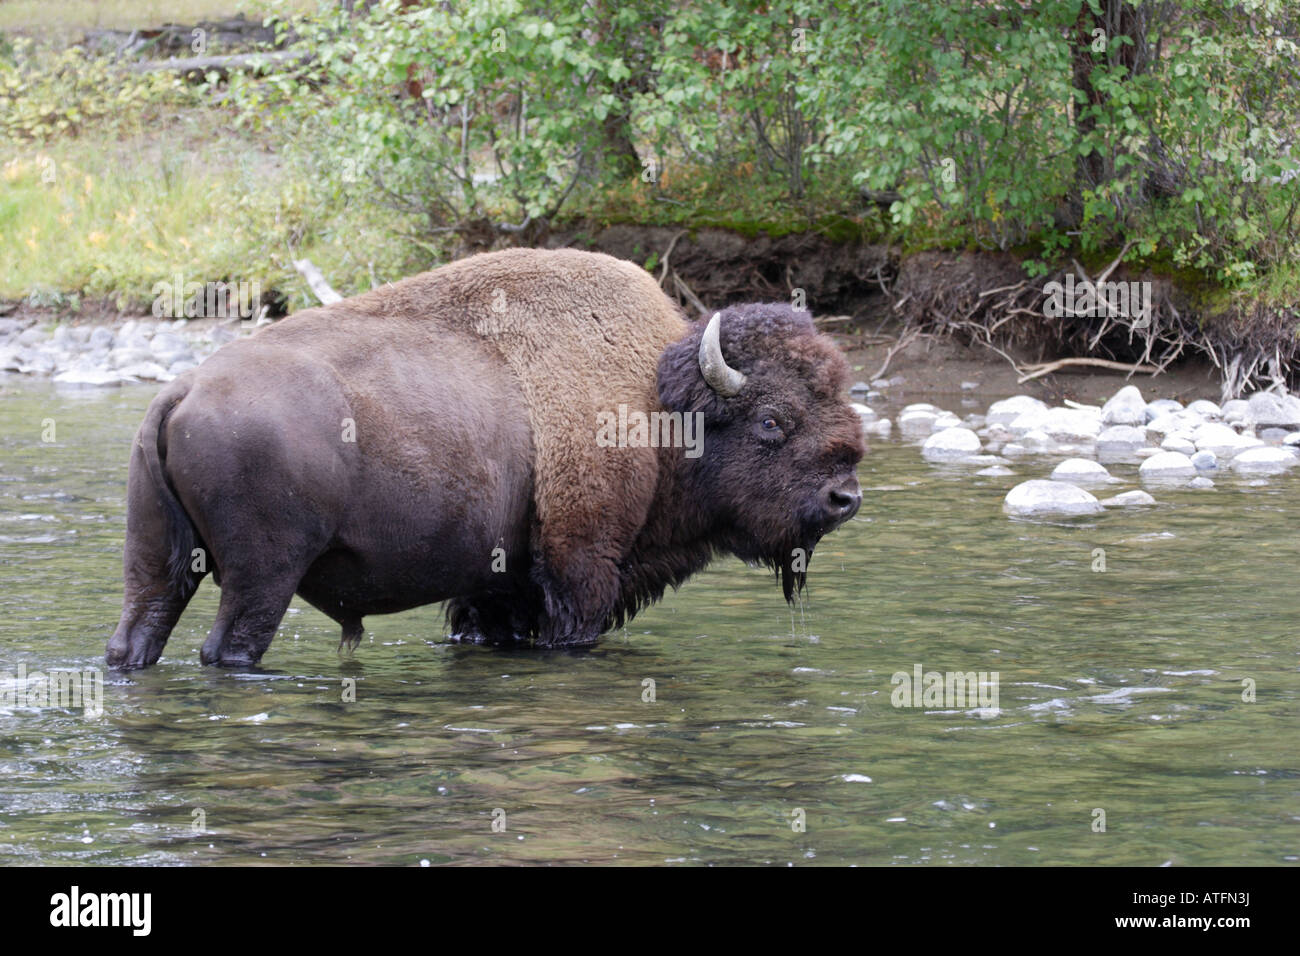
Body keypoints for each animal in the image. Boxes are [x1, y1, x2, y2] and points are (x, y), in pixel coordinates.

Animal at [106, 249, 864, 668]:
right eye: (772, 420)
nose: (845, 497)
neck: (653, 406)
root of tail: (181, 391)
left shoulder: (496, 588)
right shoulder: (580, 575)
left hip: (159, 562)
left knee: (138, 633)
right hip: (263, 575)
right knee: (229, 647)